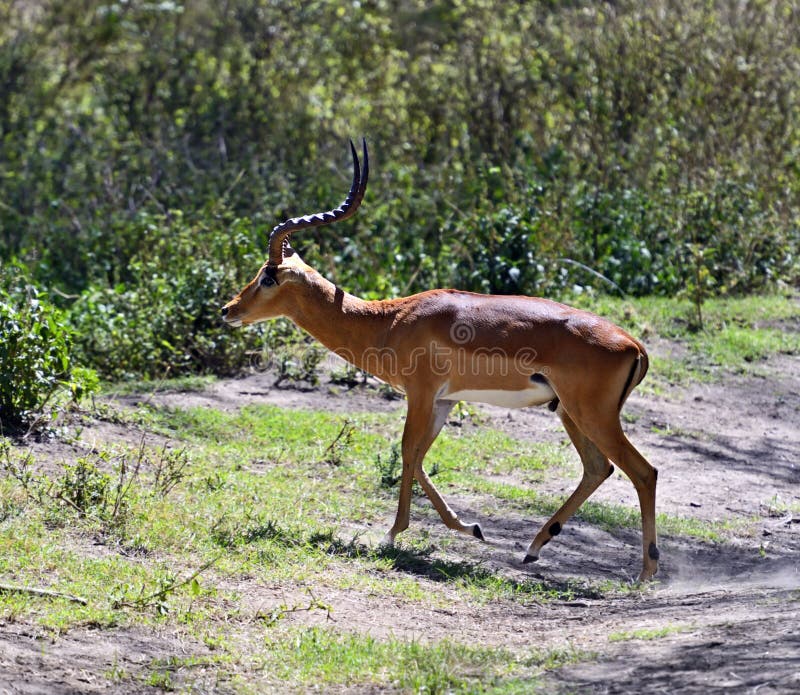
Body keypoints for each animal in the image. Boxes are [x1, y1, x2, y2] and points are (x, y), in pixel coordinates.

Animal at [222, 140, 659, 581]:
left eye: (268, 276)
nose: (228, 309)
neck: (390, 321)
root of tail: (634, 346)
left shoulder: (420, 393)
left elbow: (407, 451)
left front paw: (392, 535)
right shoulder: (444, 400)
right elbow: (419, 457)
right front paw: (471, 528)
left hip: (592, 415)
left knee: (643, 471)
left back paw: (644, 575)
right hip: (570, 412)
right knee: (598, 468)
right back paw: (533, 550)